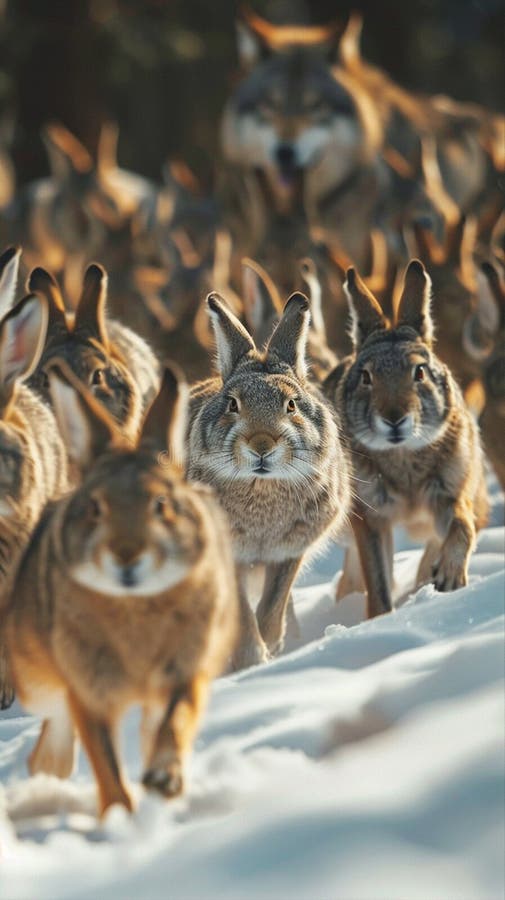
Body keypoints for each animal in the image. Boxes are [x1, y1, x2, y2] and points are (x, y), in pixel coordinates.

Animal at [7, 362, 238, 817]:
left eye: (161, 505)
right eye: (95, 508)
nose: (127, 556)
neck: (136, 603)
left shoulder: (186, 672)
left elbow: (176, 723)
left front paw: (164, 781)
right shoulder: (88, 693)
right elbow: (106, 764)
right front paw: (120, 817)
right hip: (39, 684)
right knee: (56, 731)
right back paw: (46, 777)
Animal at [188, 290, 351, 666]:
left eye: (291, 405)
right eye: (232, 404)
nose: (261, 446)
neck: (263, 487)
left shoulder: (289, 550)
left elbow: (273, 604)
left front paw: (272, 647)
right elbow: (243, 614)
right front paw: (253, 659)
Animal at [324, 259, 489, 618]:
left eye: (420, 372)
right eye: (366, 377)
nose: (394, 419)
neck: (403, 457)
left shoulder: (450, 493)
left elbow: (462, 528)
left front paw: (450, 578)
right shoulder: (370, 517)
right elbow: (378, 581)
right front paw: (380, 618)